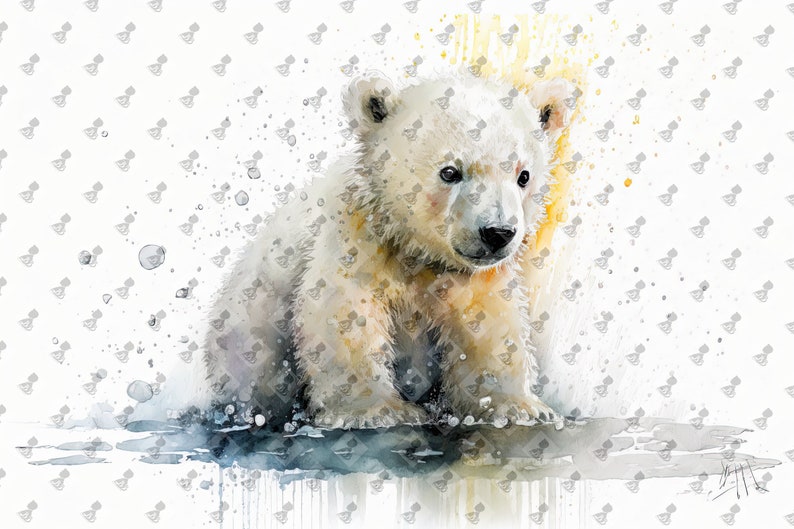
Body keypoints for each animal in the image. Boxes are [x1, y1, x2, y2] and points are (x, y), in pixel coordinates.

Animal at [199, 71, 574, 430]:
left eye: (523, 176)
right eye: (450, 172)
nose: (498, 233)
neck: (415, 250)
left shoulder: (467, 276)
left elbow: (489, 324)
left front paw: (515, 406)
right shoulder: (357, 239)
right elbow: (344, 315)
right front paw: (376, 411)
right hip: (249, 327)